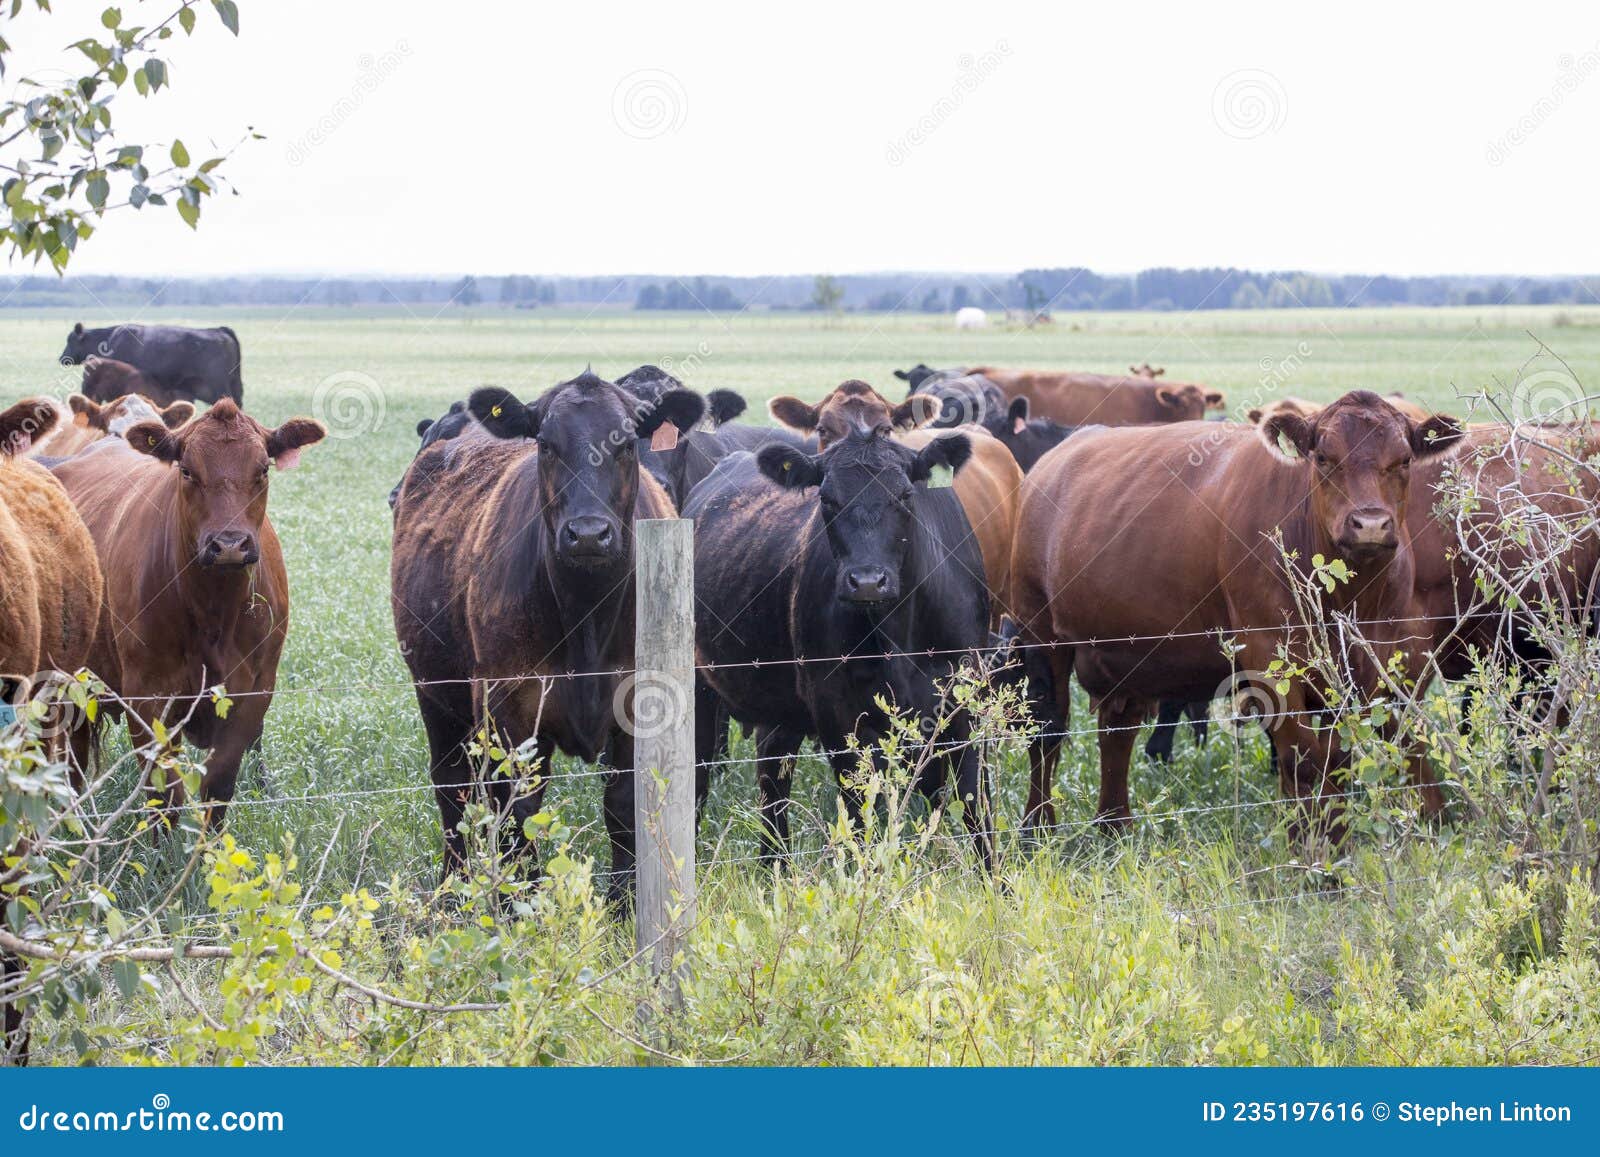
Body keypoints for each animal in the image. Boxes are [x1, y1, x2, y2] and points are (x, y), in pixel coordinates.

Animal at [49, 399, 326, 819]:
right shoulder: (148, 695)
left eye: (262, 469)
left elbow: (218, 786)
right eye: (187, 470)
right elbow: (165, 797)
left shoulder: (253, 693)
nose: (229, 544)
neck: (215, 611)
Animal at [390, 371, 704, 896]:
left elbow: (624, 808)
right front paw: (524, 906)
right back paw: (452, 891)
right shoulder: (508, 708)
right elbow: (519, 816)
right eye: (545, 444)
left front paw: (623, 905)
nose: (589, 534)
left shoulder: (639, 703)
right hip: (434, 690)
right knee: (452, 788)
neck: (587, 617)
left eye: (626, 445)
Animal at [684, 426, 994, 868]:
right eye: (827, 499)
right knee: (699, 775)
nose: (866, 581)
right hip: (700, 686)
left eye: (905, 495)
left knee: (773, 772)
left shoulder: (963, 701)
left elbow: (974, 803)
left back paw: (774, 865)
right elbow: (859, 814)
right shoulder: (836, 710)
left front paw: (993, 880)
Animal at [1010, 391, 1464, 845]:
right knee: (1048, 729)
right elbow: (1301, 761)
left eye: (1404, 460)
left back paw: (1113, 824)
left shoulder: (1368, 661)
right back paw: (1037, 826)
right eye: (1323, 458)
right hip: (1041, 633)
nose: (1370, 524)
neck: (1344, 594)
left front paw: (1333, 838)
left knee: (1117, 731)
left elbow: (1338, 760)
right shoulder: (1269, 658)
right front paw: (1311, 849)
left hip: (1127, 651)